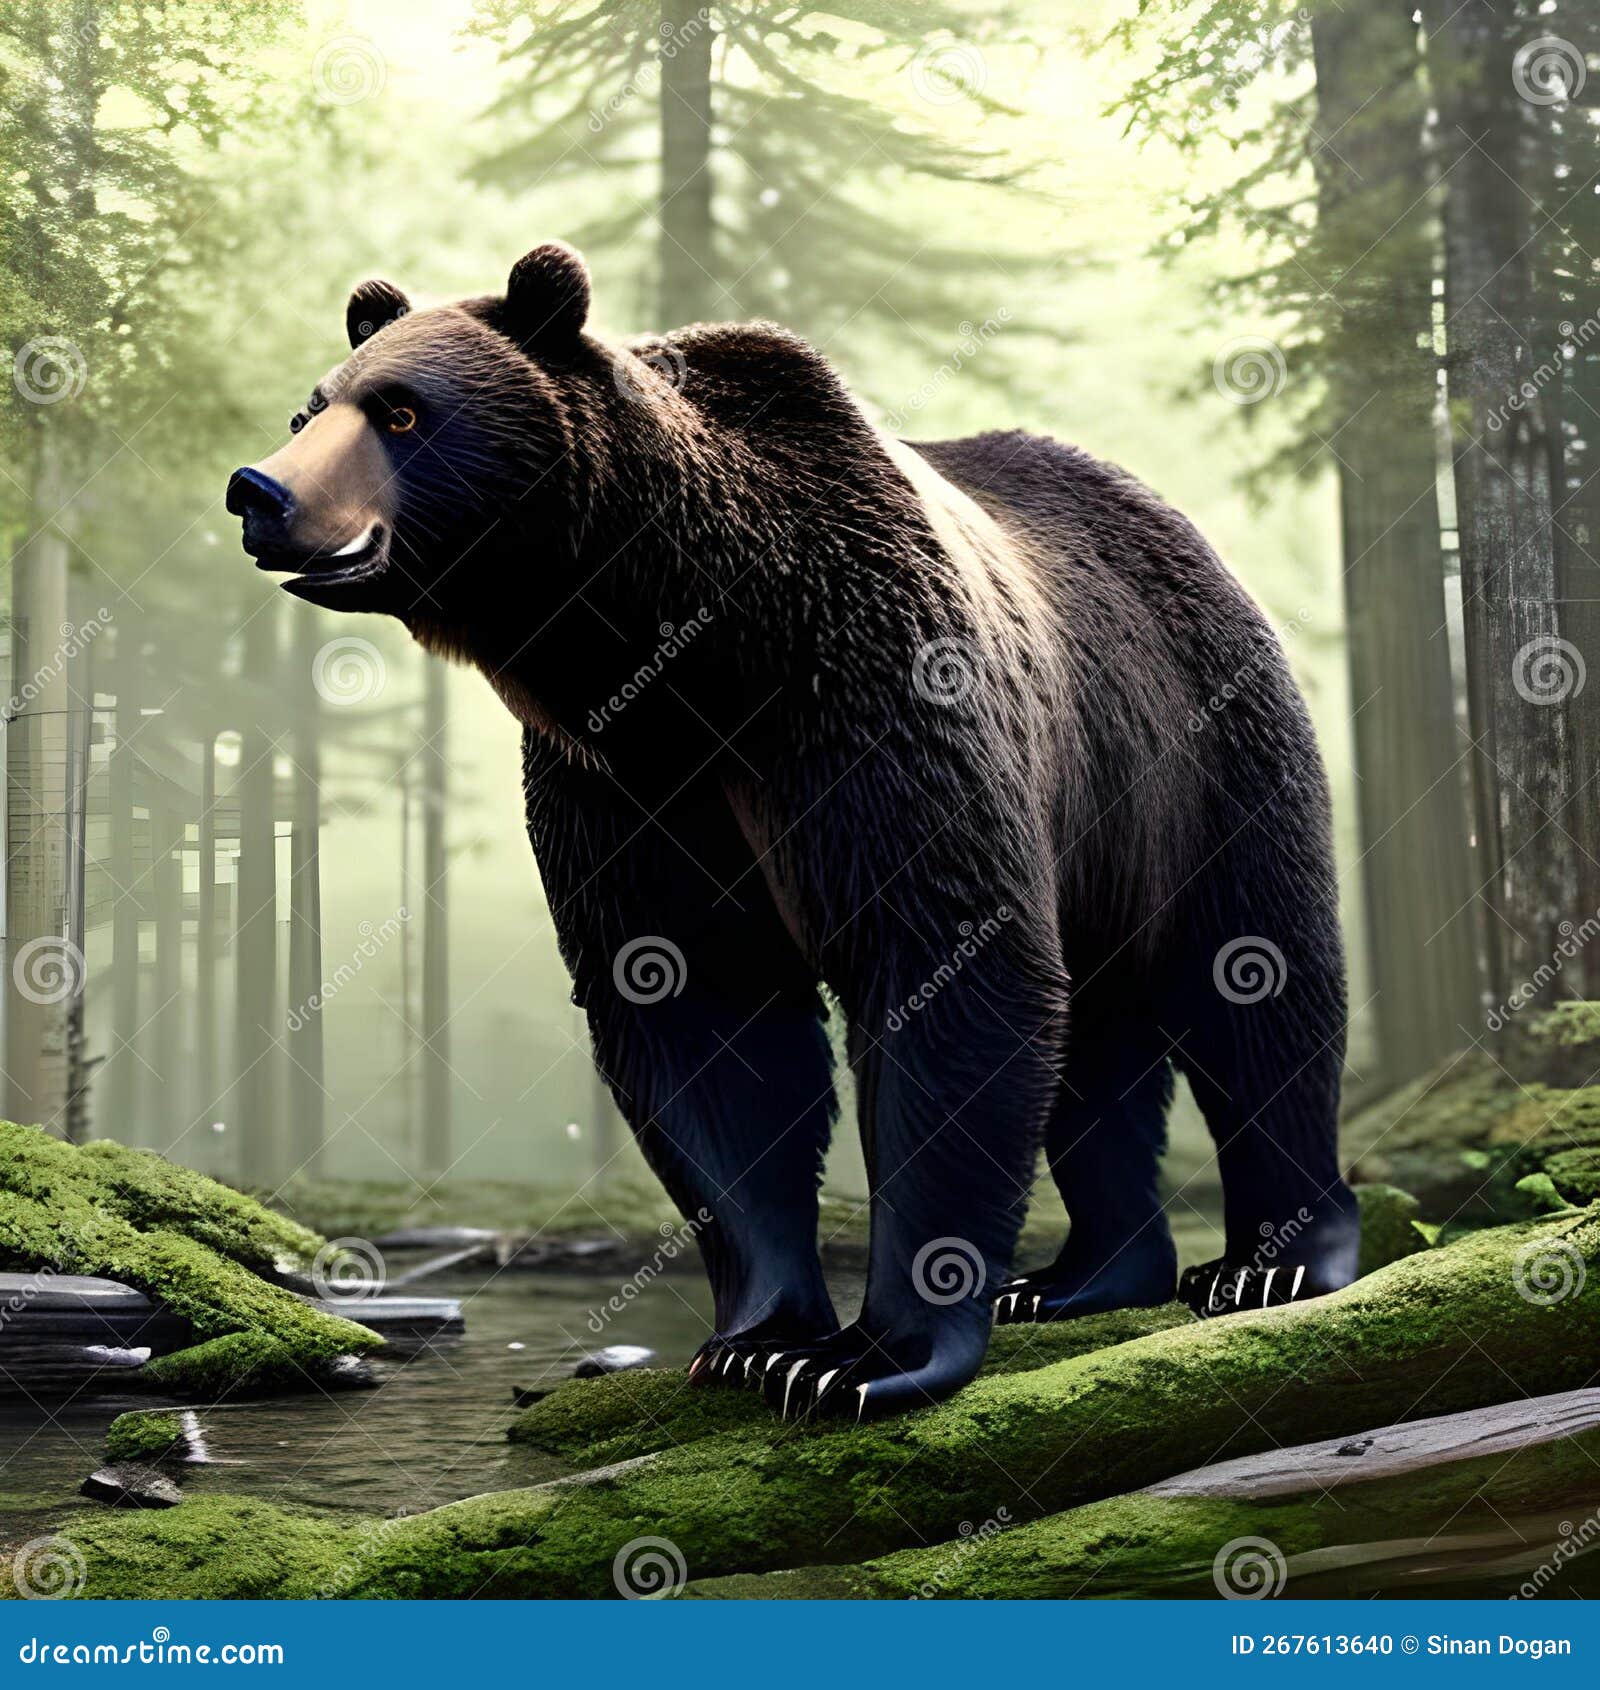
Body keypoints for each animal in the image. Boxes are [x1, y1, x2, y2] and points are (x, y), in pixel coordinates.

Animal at [226, 241, 1360, 1421]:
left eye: (402, 410)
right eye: (310, 407)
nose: (259, 490)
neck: (685, 649)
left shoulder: (868, 702)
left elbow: (943, 968)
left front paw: (865, 1356)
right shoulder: (626, 790)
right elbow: (701, 1022)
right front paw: (757, 1339)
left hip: (1198, 752)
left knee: (1256, 976)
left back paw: (1273, 1259)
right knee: (1096, 1039)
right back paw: (1080, 1275)